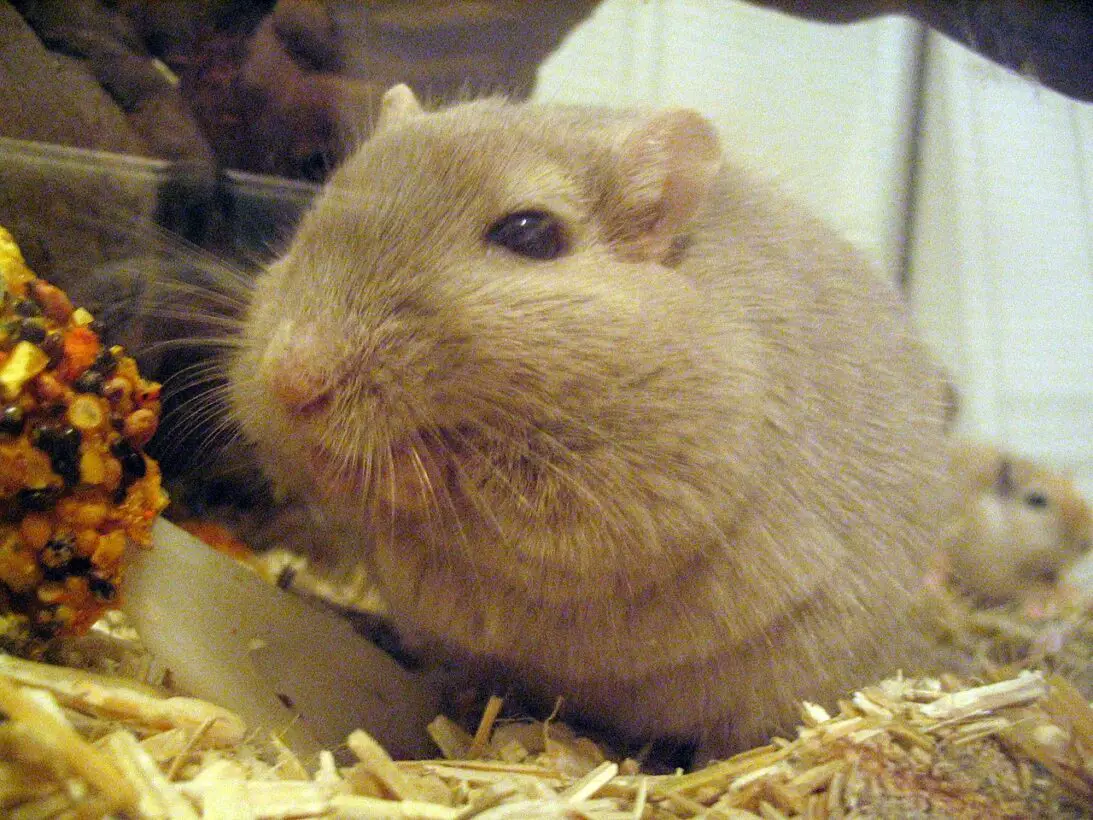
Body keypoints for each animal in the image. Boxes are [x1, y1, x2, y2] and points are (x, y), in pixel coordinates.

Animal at [227, 85, 951, 756]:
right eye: (327, 198)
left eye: (528, 233)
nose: (290, 380)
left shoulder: (629, 488)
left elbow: (465, 488)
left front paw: (394, 471)